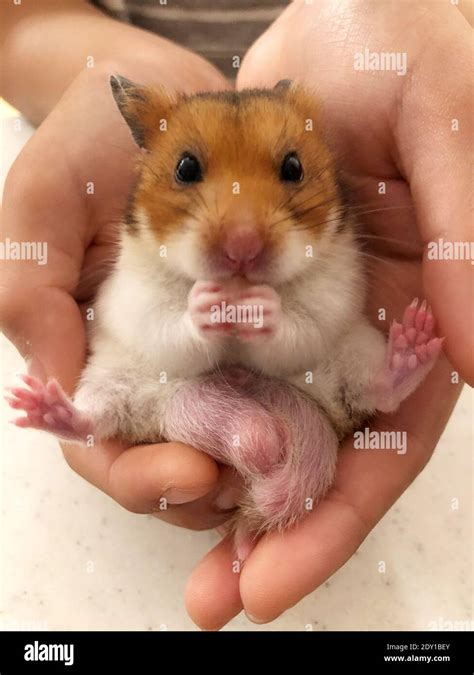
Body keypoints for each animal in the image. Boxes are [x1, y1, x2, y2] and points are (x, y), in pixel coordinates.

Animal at [8, 77, 443, 560]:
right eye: (185, 167)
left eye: (293, 167)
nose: (242, 246)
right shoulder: (142, 302)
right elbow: (175, 326)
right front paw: (208, 302)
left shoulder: (329, 297)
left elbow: (294, 326)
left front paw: (258, 306)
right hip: (115, 381)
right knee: (93, 421)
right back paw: (39, 406)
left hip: (353, 353)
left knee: (379, 390)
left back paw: (415, 342)